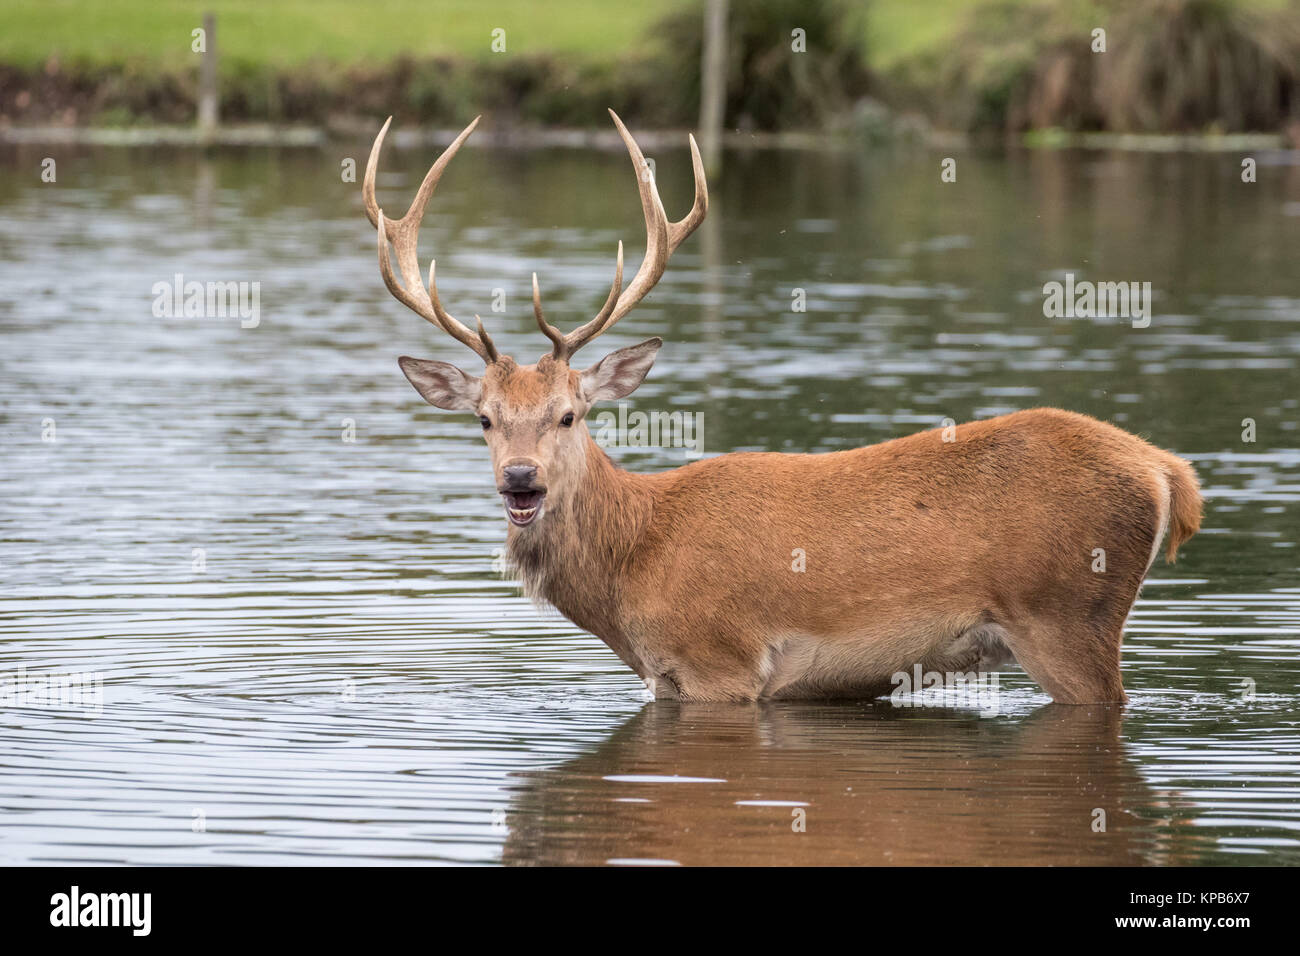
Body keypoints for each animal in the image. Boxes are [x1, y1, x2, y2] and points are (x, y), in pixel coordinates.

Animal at [362, 111, 1203, 705]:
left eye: (570, 414)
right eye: (484, 418)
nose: (522, 481)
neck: (633, 568)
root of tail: (1166, 470)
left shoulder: (718, 660)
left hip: (1068, 615)